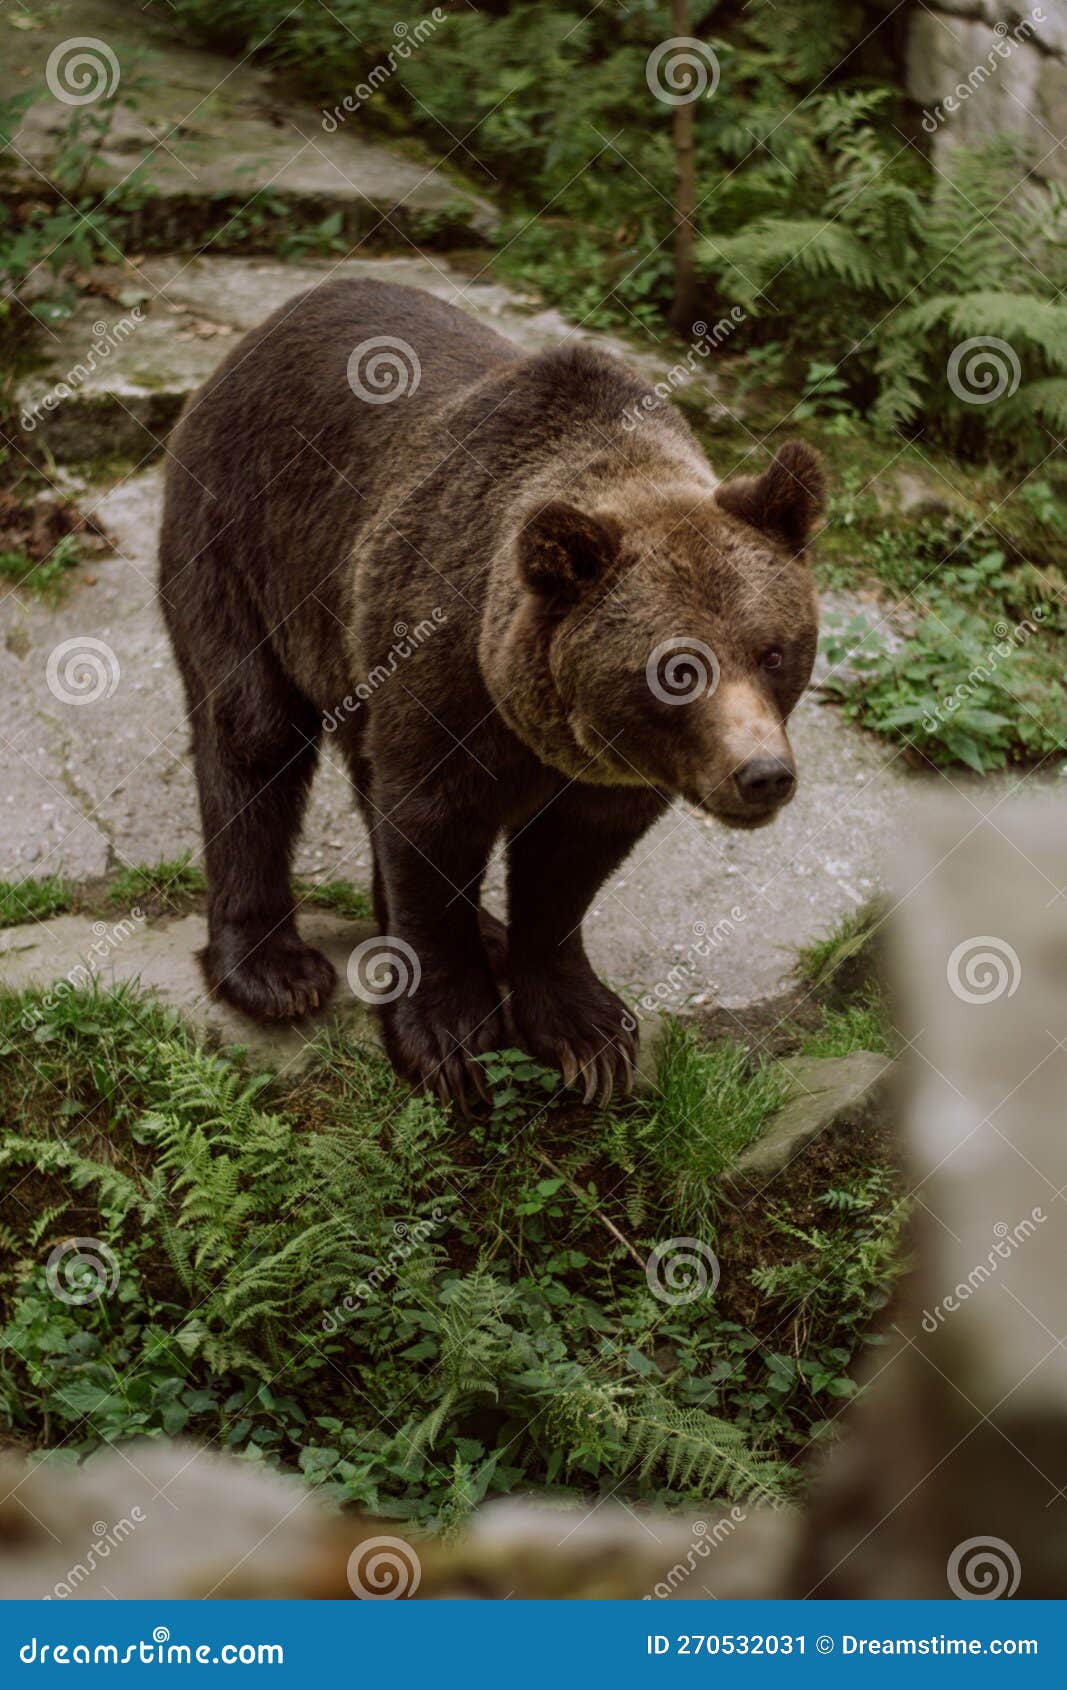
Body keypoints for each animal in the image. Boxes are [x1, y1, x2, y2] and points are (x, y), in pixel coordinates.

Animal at [159, 279, 823, 1108]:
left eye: (773, 651)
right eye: (678, 670)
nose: (761, 774)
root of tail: (270, 323)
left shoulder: (608, 771)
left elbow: (569, 866)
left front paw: (588, 1033)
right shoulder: (443, 669)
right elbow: (429, 826)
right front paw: (448, 1038)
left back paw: (482, 931)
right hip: (243, 539)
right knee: (252, 730)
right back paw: (271, 969)